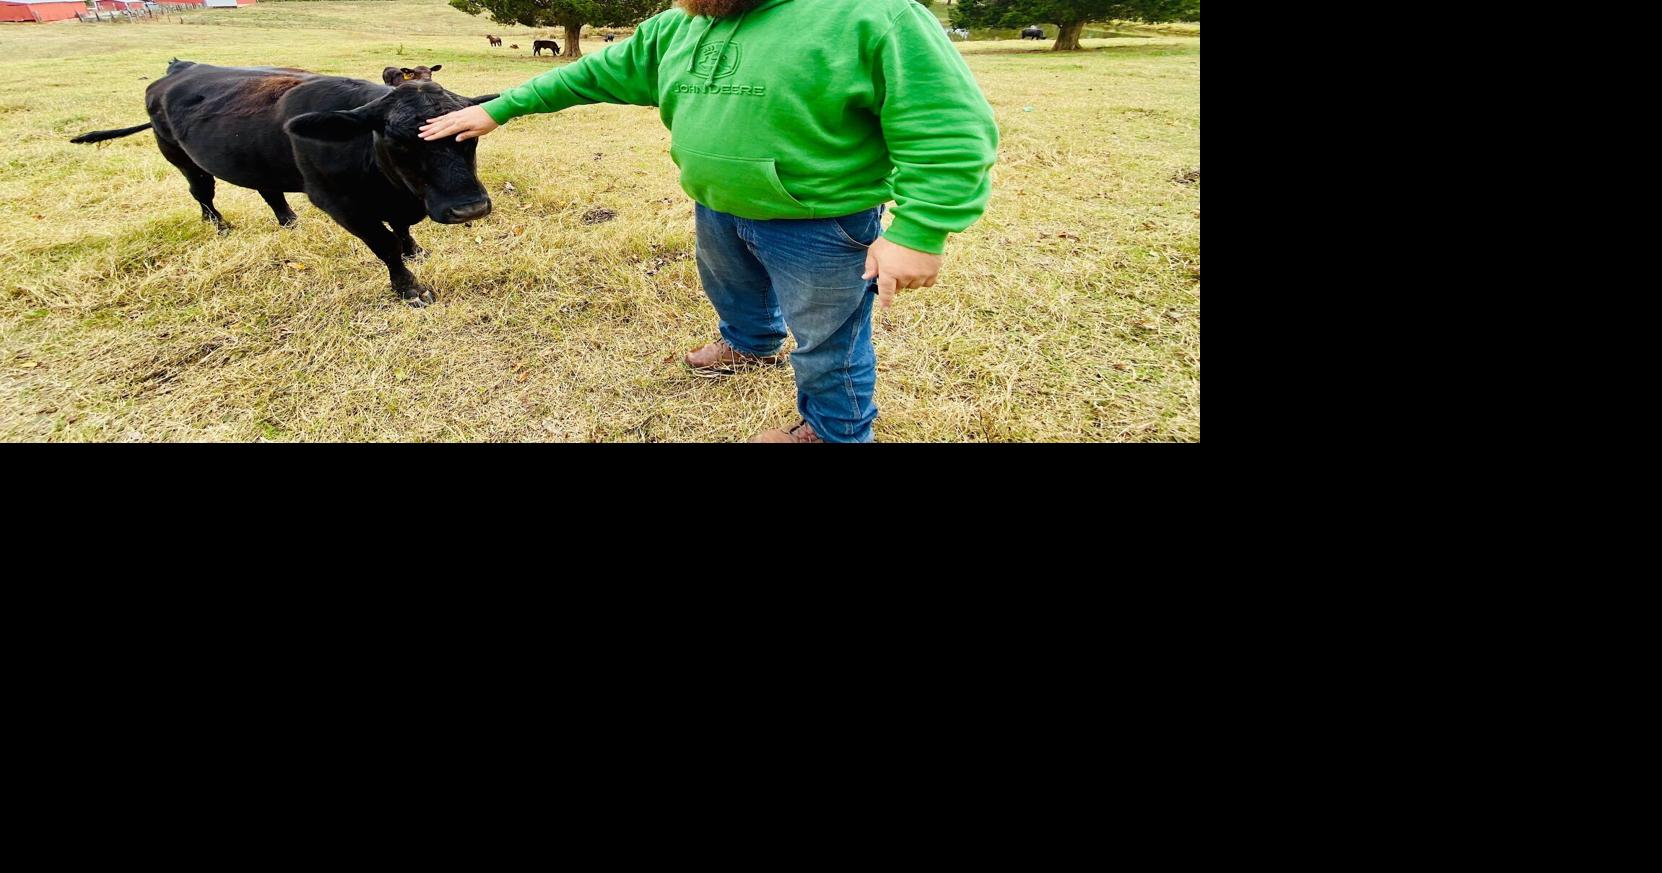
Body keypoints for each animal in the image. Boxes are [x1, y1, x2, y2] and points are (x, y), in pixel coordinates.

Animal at [69, 60, 497, 307]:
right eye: (398, 141)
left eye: (469, 136)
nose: (469, 208)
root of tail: (176, 70)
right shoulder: (340, 203)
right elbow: (385, 244)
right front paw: (410, 288)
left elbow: (401, 229)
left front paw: (415, 250)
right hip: (178, 154)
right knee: (201, 191)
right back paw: (220, 225)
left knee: (268, 190)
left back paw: (288, 221)